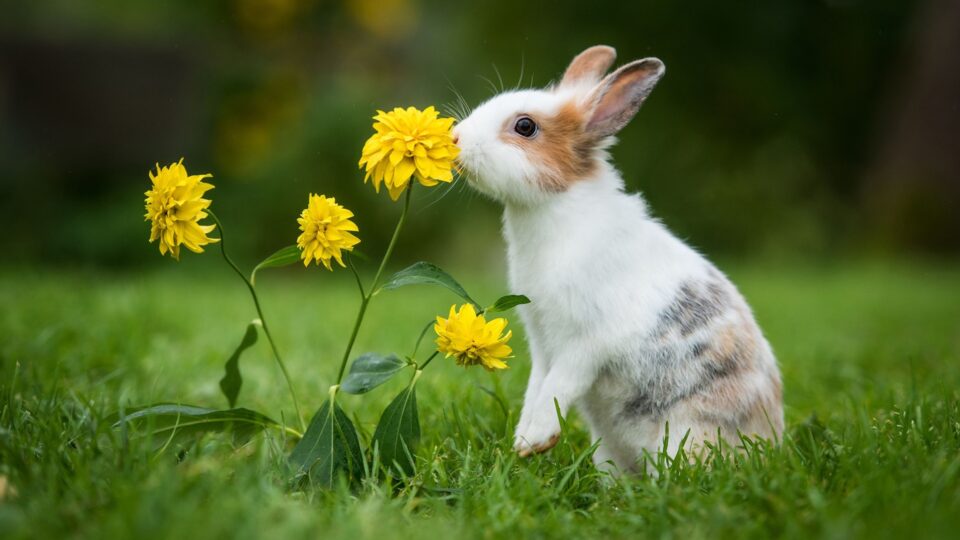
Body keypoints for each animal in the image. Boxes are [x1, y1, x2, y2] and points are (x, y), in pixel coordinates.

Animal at [451, 45, 784, 473]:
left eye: (525, 126)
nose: (455, 138)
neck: (555, 208)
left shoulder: (585, 342)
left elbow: (559, 385)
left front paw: (533, 440)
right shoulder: (541, 341)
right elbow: (537, 386)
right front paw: (524, 441)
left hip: (685, 431)